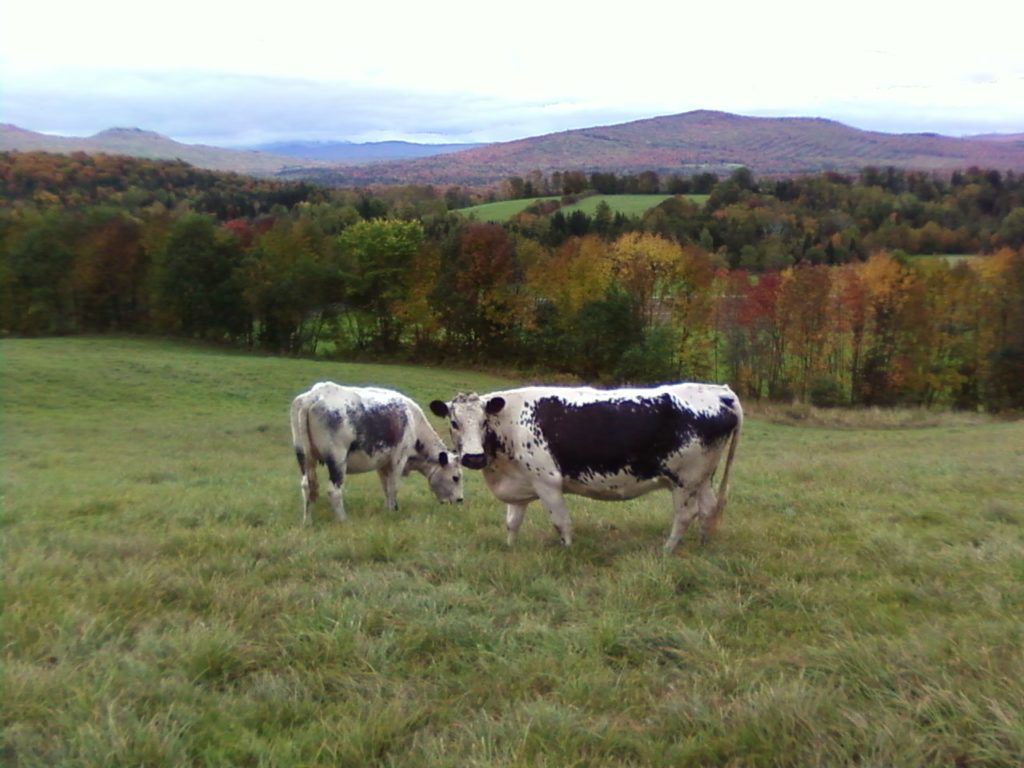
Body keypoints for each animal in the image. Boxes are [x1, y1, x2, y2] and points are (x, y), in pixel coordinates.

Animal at [290, 382, 462, 524]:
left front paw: (388, 509)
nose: (460, 500)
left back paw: (307, 521)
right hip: (337, 459)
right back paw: (343, 520)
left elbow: (385, 487)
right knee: (334, 491)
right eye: (456, 477)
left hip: (303, 455)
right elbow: (393, 487)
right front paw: (393, 511)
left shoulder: (381, 463)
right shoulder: (399, 458)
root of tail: (315, 394)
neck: (413, 420)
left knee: (306, 486)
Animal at [430, 383, 742, 551]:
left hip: (684, 480)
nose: (473, 458)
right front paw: (510, 548)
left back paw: (667, 550)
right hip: (702, 479)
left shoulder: (547, 482)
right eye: (454, 422)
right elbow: (512, 522)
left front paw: (567, 551)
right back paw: (703, 544)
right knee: (707, 509)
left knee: (685, 514)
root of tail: (720, 391)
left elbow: (561, 522)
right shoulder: (520, 483)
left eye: (484, 421)